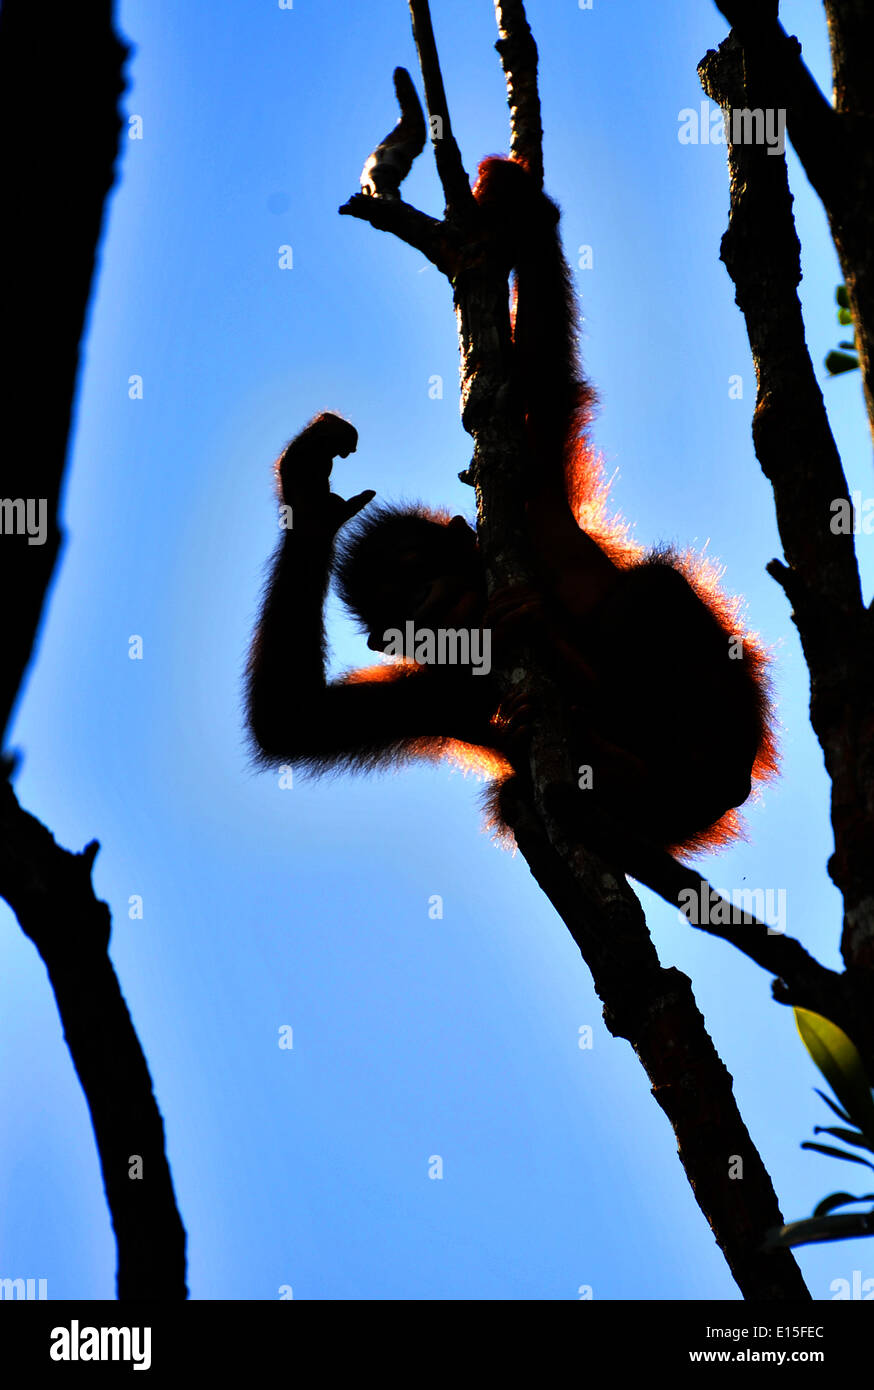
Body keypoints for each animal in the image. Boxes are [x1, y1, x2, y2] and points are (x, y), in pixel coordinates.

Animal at [246, 156, 777, 860]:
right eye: (401, 625)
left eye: (417, 579)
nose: (425, 613)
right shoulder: (444, 686)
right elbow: (295, 719)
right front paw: (309, 499)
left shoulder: (532, 508)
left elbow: (543, 385)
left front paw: (521, 207)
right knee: (522, 790)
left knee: (654, 591)